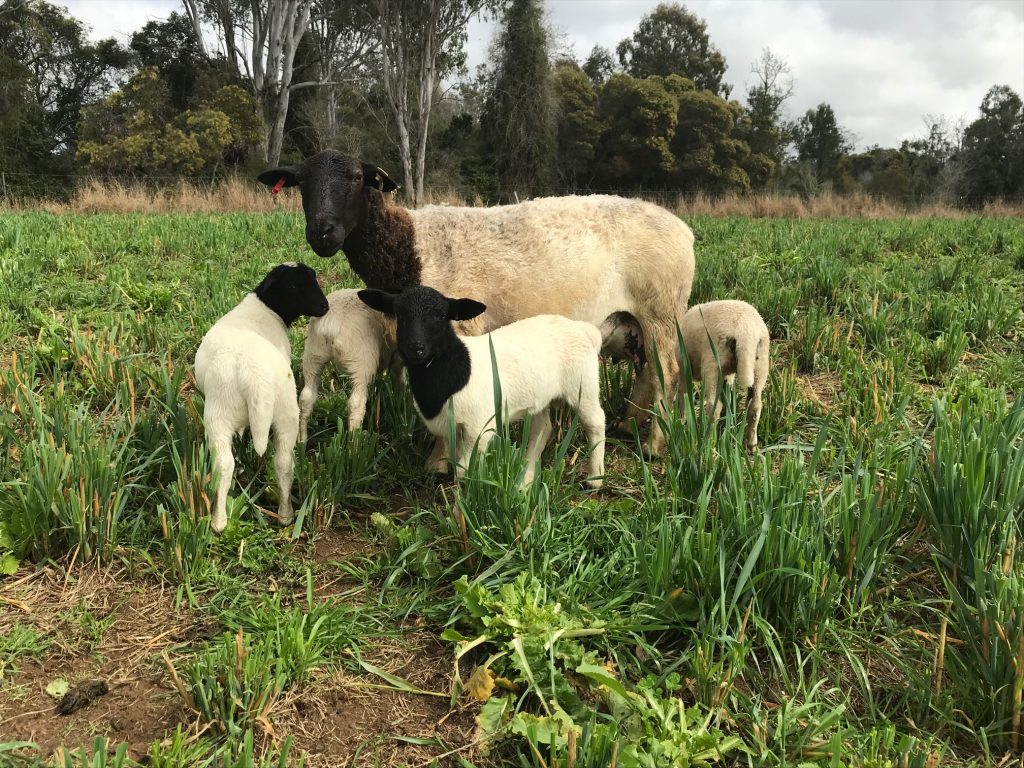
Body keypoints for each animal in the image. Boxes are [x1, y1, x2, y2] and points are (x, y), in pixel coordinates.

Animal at [194, 262, 330, 533]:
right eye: (293, 285)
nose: (324, 306)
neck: (267, 308)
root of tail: (254, 377)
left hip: (219, 416)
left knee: (223, 466)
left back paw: (219, 521)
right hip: (286, 411)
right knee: (284, 463)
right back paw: (285, 515)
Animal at [298, 288, 403, 442]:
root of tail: (331, 325)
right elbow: (400, 381)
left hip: (313, 355)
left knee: (306, 398)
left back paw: (302, 441)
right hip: (361, 361)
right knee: (356, 403)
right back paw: (354, 444)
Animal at [357, 285, 606, 488]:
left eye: (441, 316)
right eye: (399, 314)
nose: (415, 347)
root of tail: (583, 329)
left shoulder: (479, 428)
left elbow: (463, 472)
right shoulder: (455, 428)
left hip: (583, 385)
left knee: (595, 422)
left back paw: (595, 478)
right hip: (540, 395)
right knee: (542, 429)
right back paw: (524, 483)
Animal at [599, 300, 770, 452]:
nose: (622, 428)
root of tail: (745, 330)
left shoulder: (682, 372)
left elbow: (683, 397)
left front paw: (680, 421)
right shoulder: (726, 374)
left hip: (712, 362)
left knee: (713, 406)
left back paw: (709, 442)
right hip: (760, 365)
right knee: (755, 405)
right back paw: (751, 445)